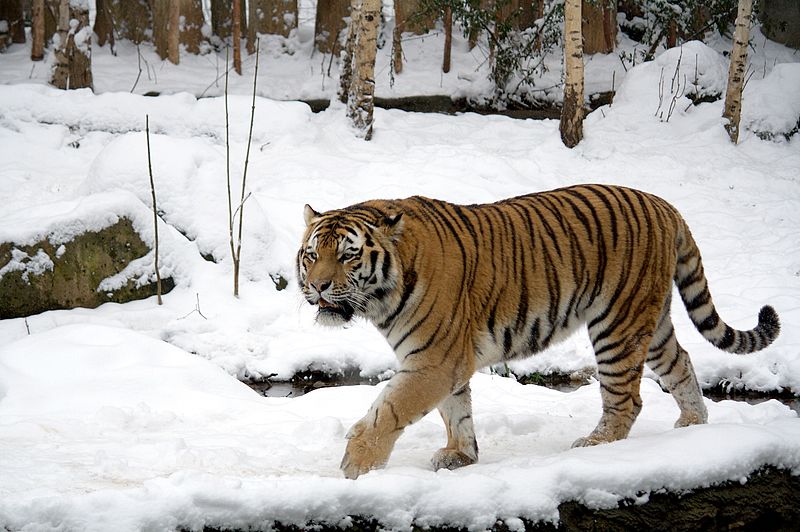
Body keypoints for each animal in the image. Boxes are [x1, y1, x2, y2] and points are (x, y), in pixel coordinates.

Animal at [296, 185, 780, 480]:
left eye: (347, 256)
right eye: (311, 255)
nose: (317, 286)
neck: (382, 295)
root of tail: (665, 205)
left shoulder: (434, 361)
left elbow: (389, 410)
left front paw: (356, 466)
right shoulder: (444, 361)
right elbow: (456, 411)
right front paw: (461, 455)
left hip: (617, 324)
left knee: (627, 398)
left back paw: (596, 444)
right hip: (651, 320)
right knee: (680, 362)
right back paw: (692, 427)